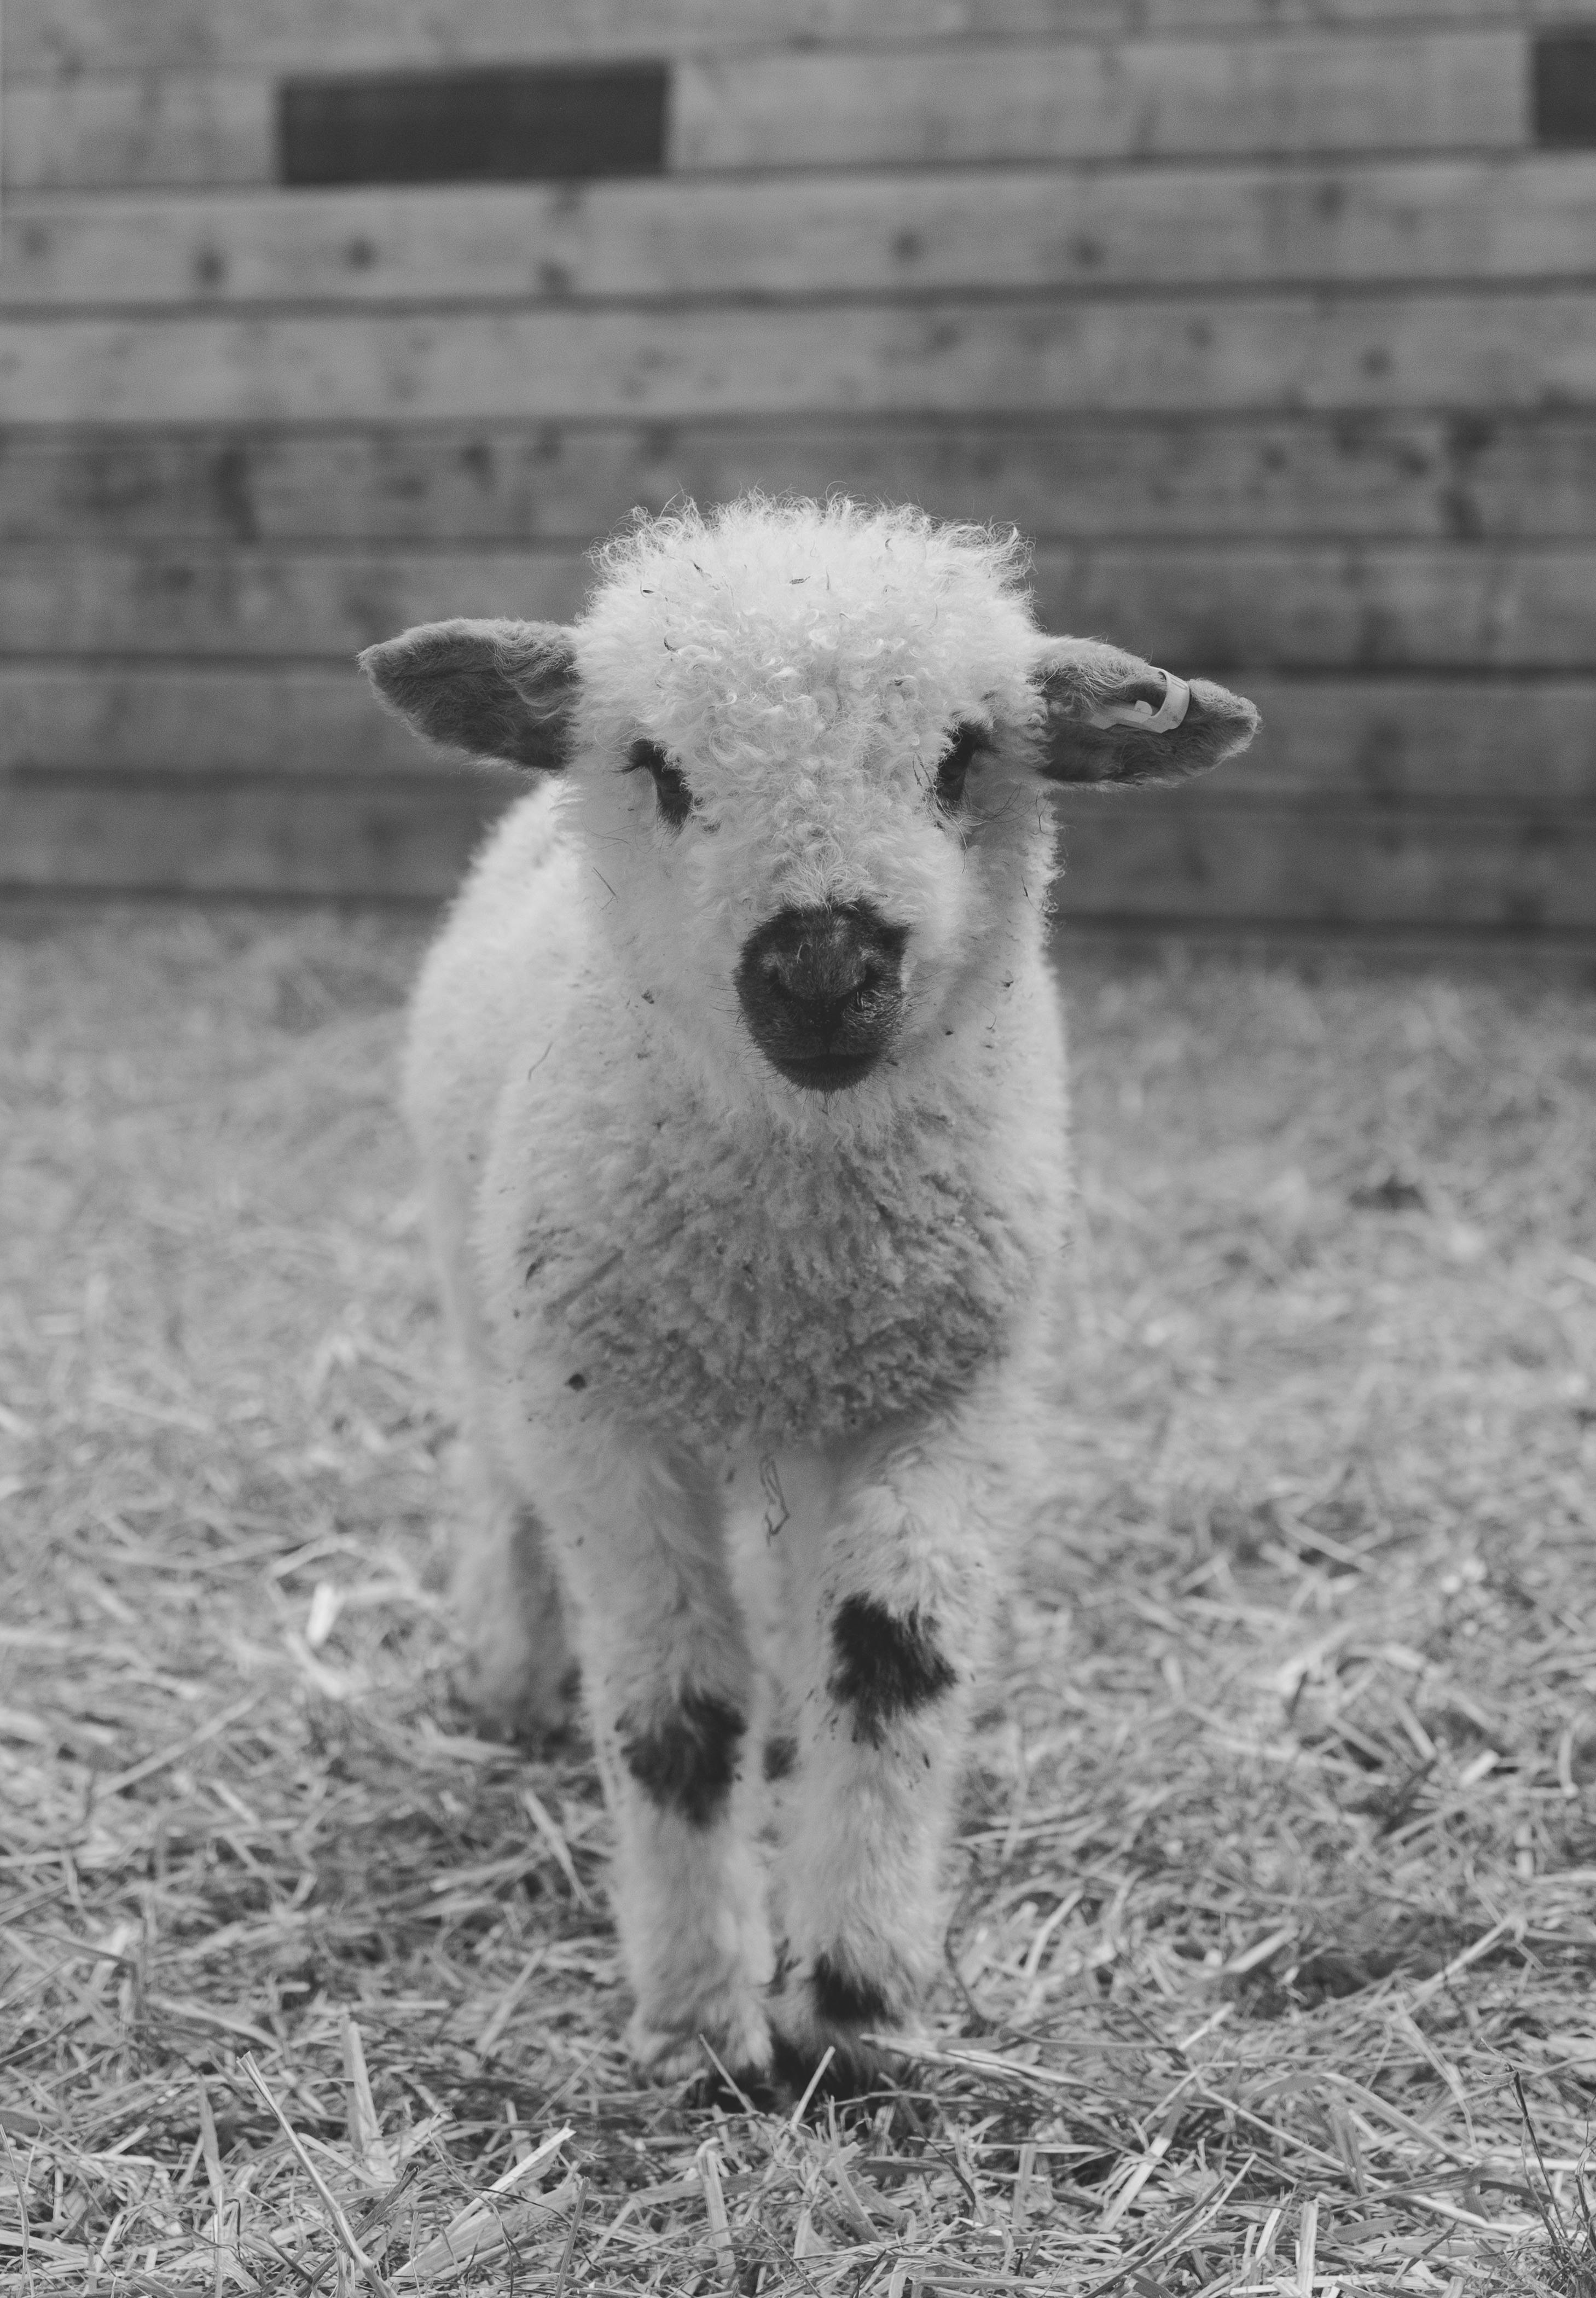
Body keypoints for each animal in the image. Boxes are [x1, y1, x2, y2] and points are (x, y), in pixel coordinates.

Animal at [360, 496, 1258, 2090]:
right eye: (657, 767)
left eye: (962, 755)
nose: (822, 967)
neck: (793, 1241)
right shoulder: (606, 1421)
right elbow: (671, 1717)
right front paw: (700, 2023)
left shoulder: (947, 1404)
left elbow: (890, 1668)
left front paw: (853, 2001)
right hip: (490, 1311)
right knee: (499, 1478)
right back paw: (515, 1673)